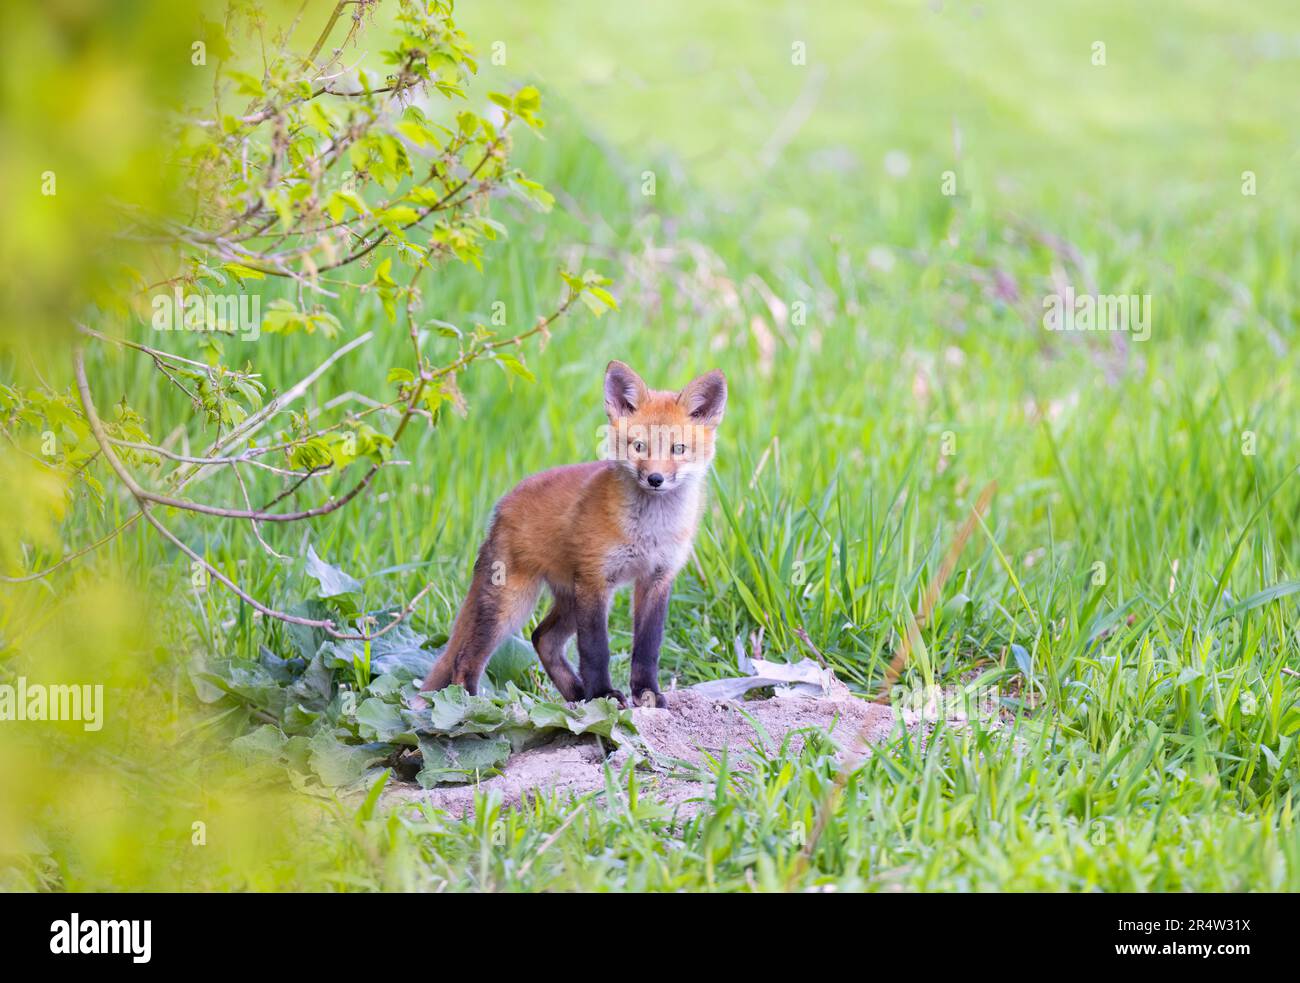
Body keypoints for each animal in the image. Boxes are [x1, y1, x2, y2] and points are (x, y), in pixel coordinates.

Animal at [417, 360, 727, 708]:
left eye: (679, 448)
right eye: (638, 446)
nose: (655, 479)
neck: (649, 532)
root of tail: (502, 506)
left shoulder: (657, 578)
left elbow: (647, 648)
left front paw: (645, 693)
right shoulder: (594, 581)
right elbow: (595, 650)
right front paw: (603, 695)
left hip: (566, 599)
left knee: (542, 638)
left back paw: (575, 695)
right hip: (514, 602)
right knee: (466, 659)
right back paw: (471, 706)